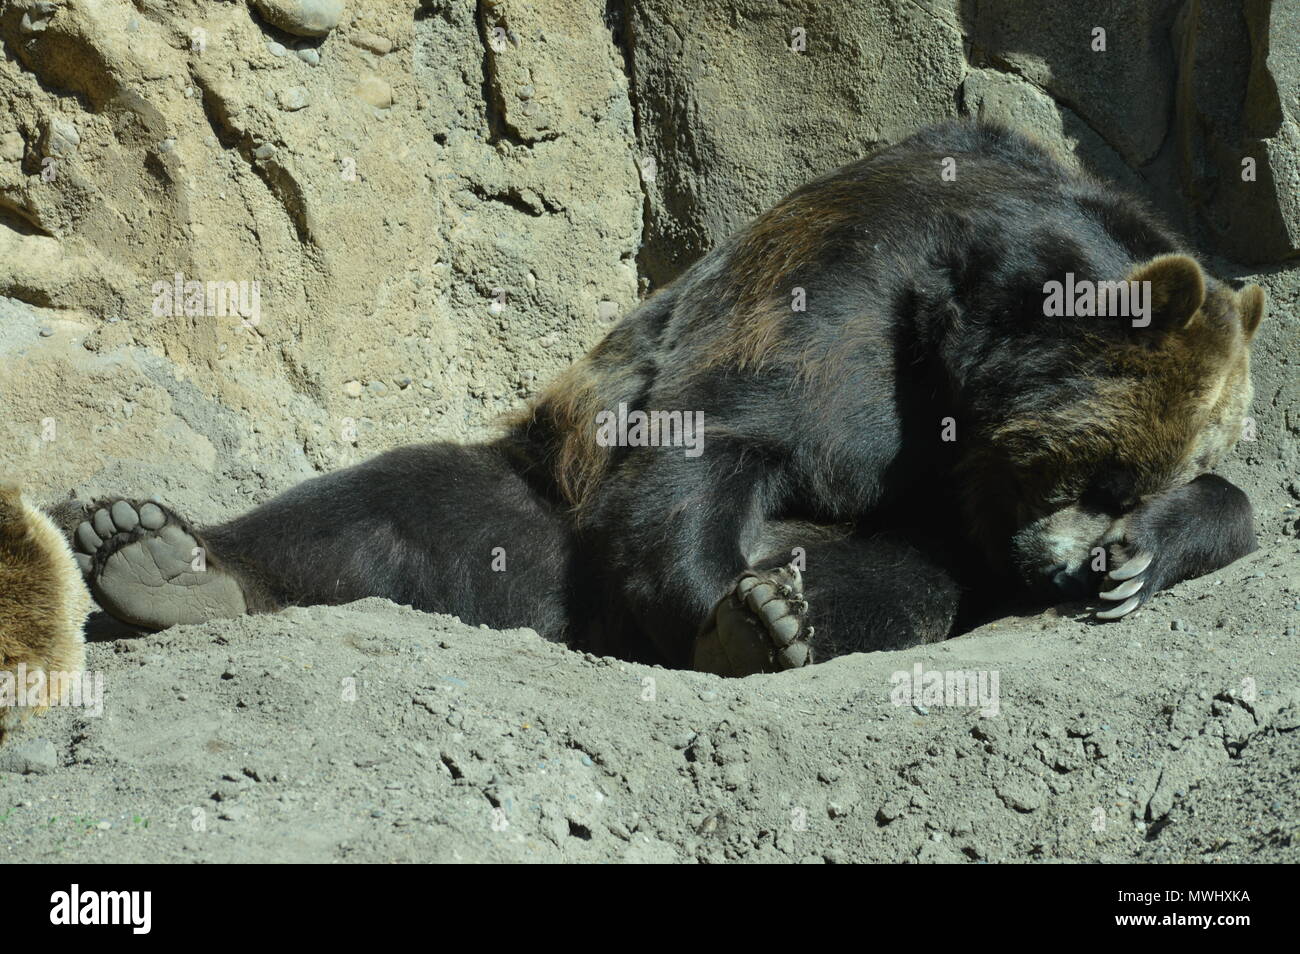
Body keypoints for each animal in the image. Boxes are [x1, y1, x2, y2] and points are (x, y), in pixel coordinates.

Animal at [52, 121, 1265, 677]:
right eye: (1092, 471)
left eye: (1135, 483)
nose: (1064, 569)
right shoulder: (851, 298)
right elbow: (724, 434)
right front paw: (723, 607)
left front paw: (1148, 554)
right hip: (542, 496)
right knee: (393, 508)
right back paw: (156, 552)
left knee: (900, 574)